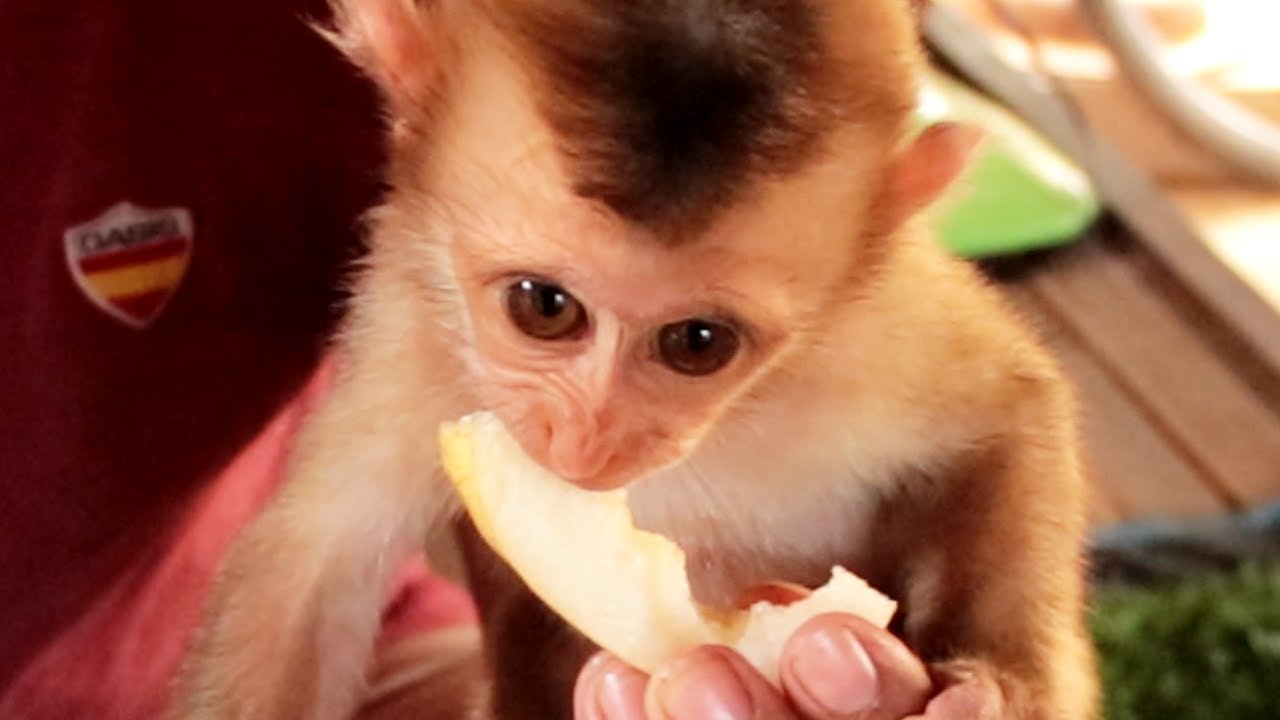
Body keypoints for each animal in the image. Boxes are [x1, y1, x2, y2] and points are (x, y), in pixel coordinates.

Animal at [174, 0, 1098, 718]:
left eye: (697, 343)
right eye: (545, 307)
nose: (590, 440)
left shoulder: (870, 330)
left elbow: (1009, 411)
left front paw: (1005, 686)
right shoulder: (411, 326)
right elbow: (310, 568)